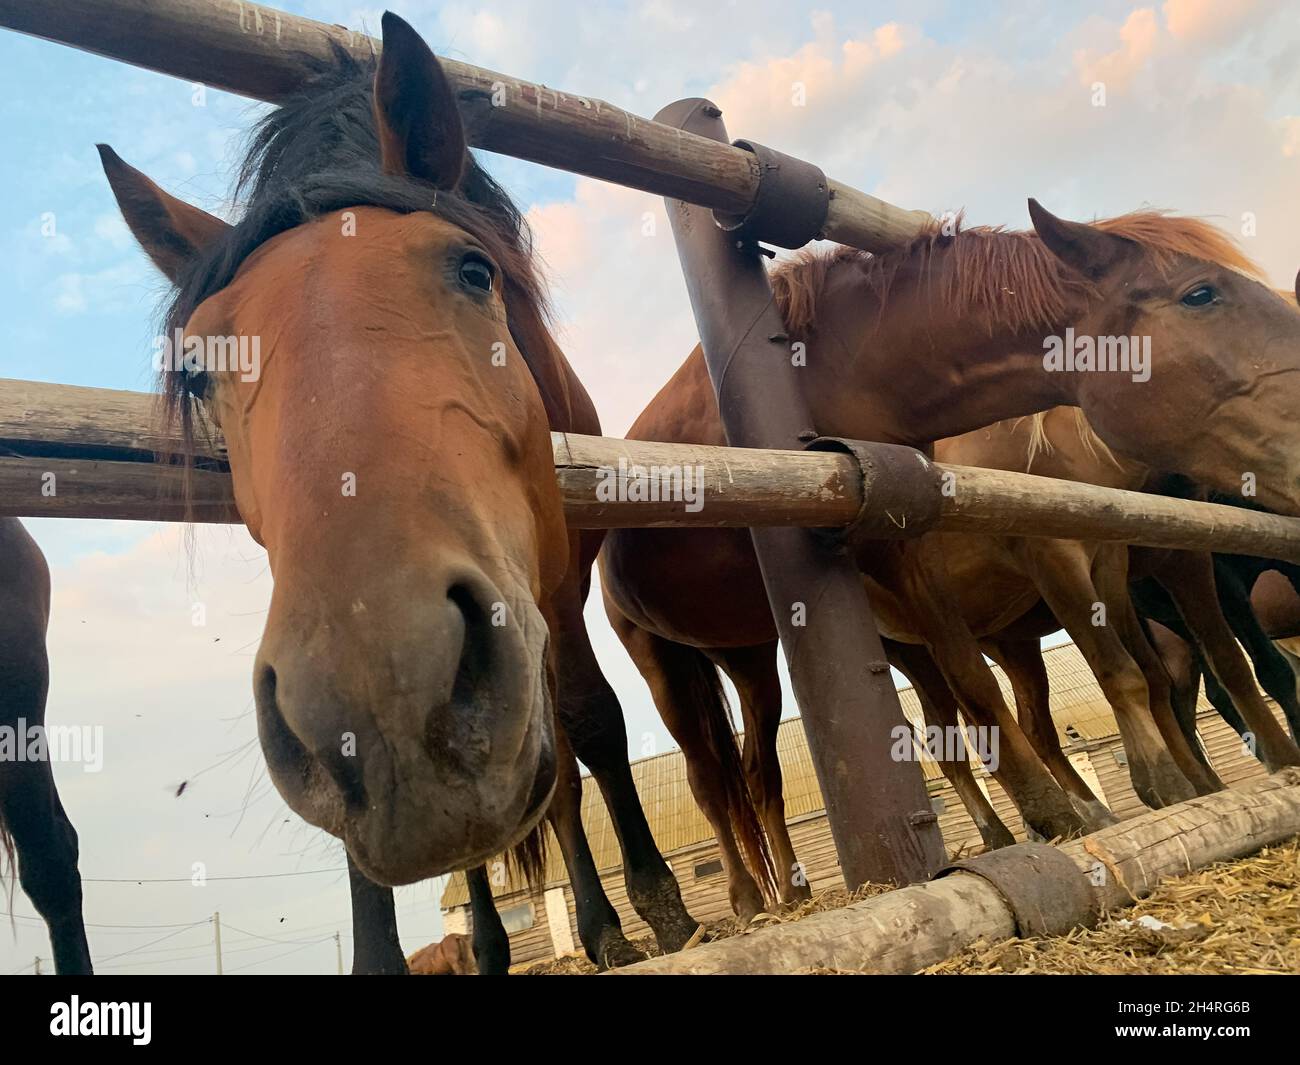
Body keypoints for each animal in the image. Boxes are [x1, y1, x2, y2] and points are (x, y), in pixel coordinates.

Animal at [97, 13, 698, 973]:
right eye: (198, 370)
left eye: (474, 271)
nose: (384, 695)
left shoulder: (560, 574)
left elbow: (590, 723)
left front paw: (657, 905)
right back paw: (499, 941)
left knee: (563, 767)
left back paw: (607, 924)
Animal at [601, 211, 1300, 916]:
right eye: (1201, 294)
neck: (834, 366)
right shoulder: (1048, 557)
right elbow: (1127, 675)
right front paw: (1152, 789)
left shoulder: (908, 536)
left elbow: (984, 682)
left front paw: (1059, 811)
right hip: (666, 667)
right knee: (711, 784)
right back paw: (748, 900)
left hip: (751, 659)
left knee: (761, 775)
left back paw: (799, 889)